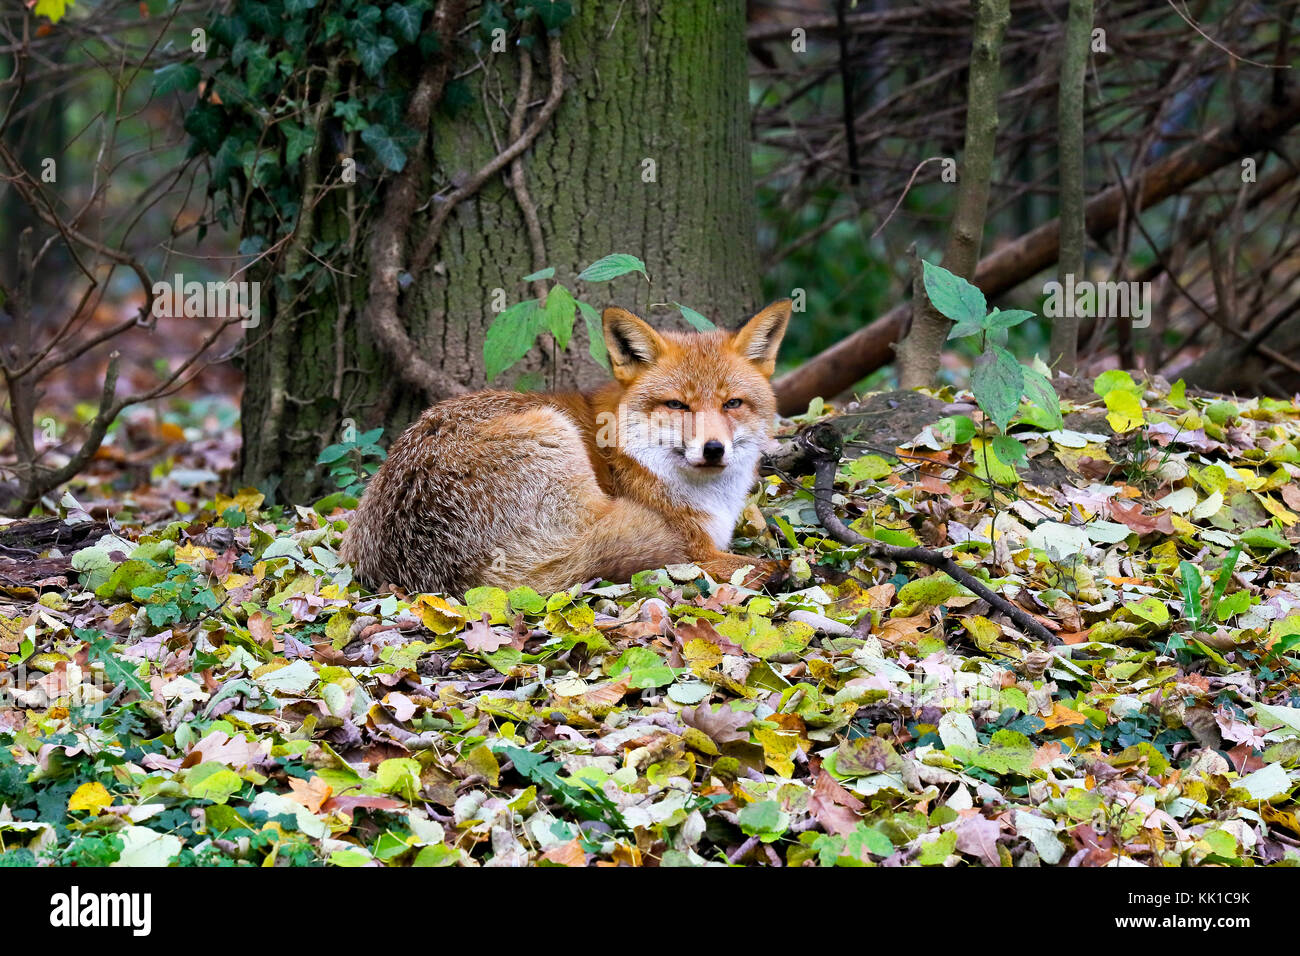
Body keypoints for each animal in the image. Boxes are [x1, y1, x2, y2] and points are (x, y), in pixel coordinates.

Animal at [341, 299, 792, 596]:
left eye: (732, 403)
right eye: (676, 405)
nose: (714, 449)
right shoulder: (699, 547)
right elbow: (747, 563)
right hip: (553, 430)